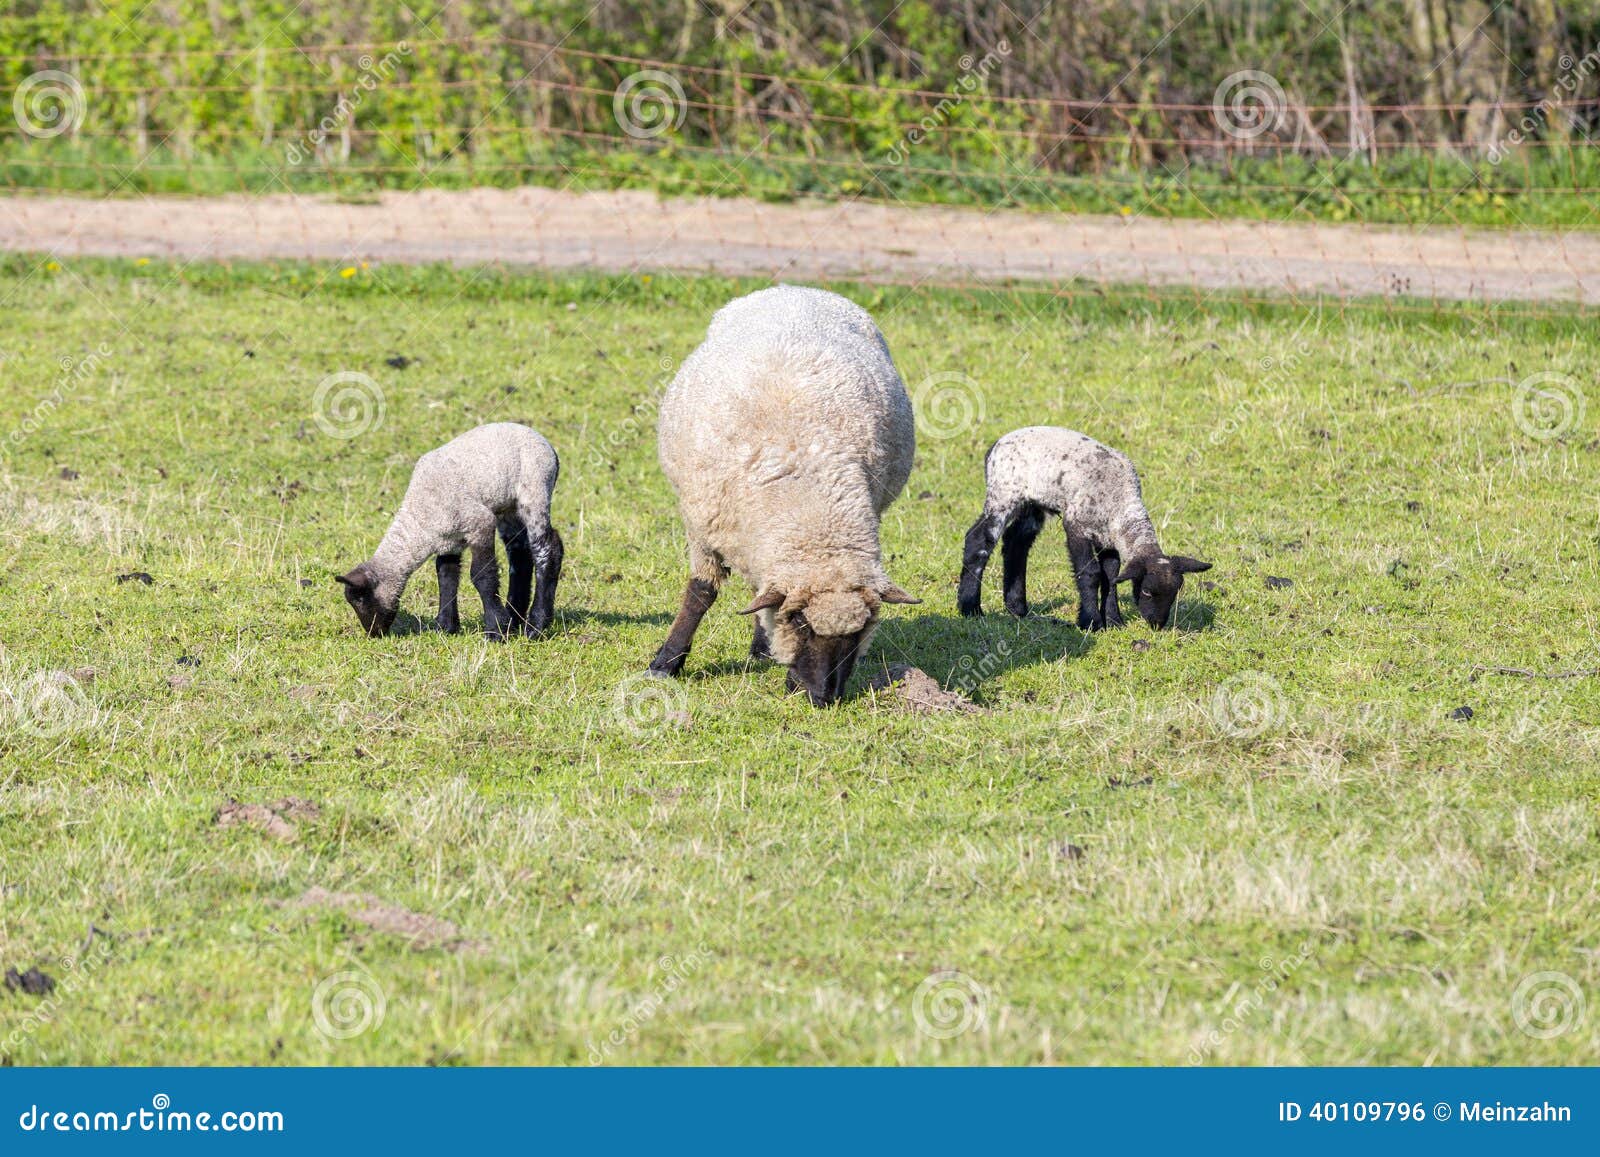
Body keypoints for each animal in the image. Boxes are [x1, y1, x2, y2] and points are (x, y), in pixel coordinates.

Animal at [335, 422, 563, 639]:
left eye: (360, 599)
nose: (374, 632)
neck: (420, 521)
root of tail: (548, 446)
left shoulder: (479, 523)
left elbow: (481, 575)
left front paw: (496, 631)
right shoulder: (449, 541)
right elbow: (446, 575)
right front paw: (446, 627)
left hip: (534, 490)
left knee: (548, 549)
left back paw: (535, 626)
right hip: (508, 508)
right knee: (520, 555)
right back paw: (516, 618)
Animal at [648, 285, 921, 705]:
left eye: (860, 632)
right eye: (800, 622)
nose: (824, 697)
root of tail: (795, 288)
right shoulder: (704, 527)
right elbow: (700, 594)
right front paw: (666, 663)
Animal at [956, 426, 1210, 629]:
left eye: (1175, 592)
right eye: (1146, 590)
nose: (1157, 624)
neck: (1122, 504)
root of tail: (995, 446)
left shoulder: (1109, 540)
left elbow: (1111, 576)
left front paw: (1114, 621)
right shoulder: (1076, 525)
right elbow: (1091, 574)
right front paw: (1091, 622)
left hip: (1032, 503)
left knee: (1016, 544)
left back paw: (1017, 609)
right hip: (1003, 494)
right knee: (979, 540)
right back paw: (971, 608)